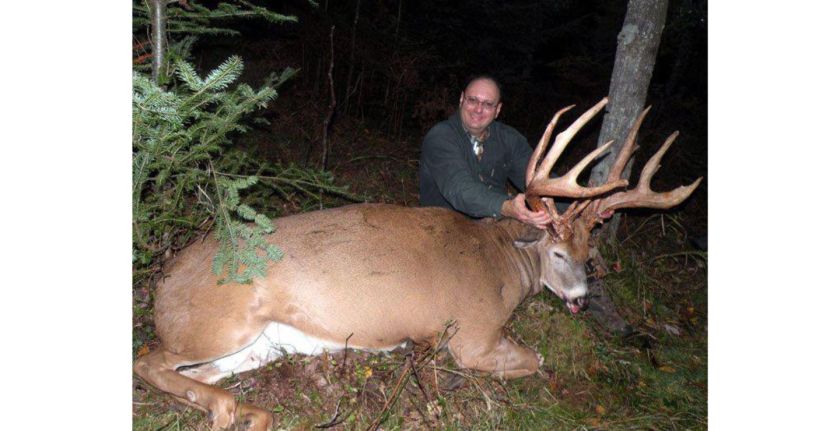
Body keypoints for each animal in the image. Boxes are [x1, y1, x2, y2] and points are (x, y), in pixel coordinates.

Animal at [133, 97, 702, 430]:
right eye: (558, 253)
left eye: (590, 255)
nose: (581, 300)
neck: (503, 264)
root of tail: (162, 286)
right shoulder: (470, 335)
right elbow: (535, 360)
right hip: (220, 320)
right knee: (148, 361)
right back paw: (231, 409)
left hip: (262, 344)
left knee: (204, 372)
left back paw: (250, 412)